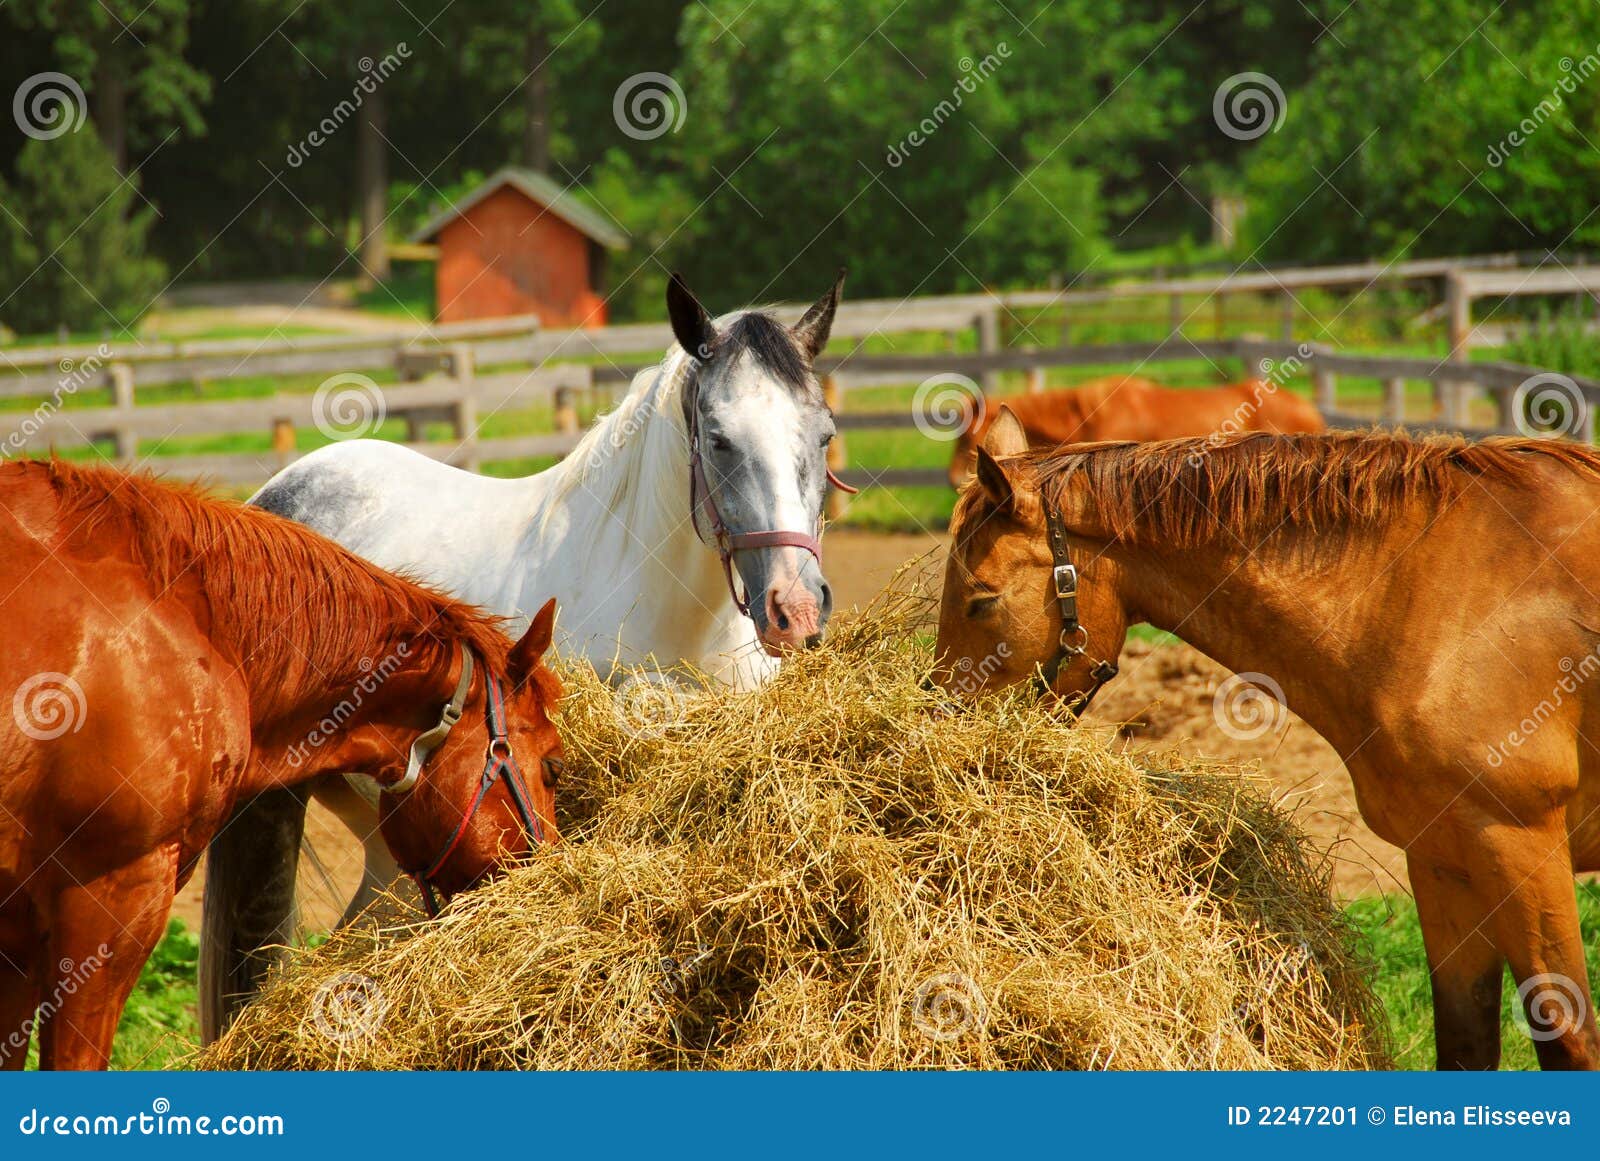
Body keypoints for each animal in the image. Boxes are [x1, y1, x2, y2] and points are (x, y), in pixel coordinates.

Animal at [935, 409, 1600, 1070]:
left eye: (981, 602)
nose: (944, 719)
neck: (1431, 593)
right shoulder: (1444, 862)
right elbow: (1465, 1042)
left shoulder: (1520, 848)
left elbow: (1571, 1038)